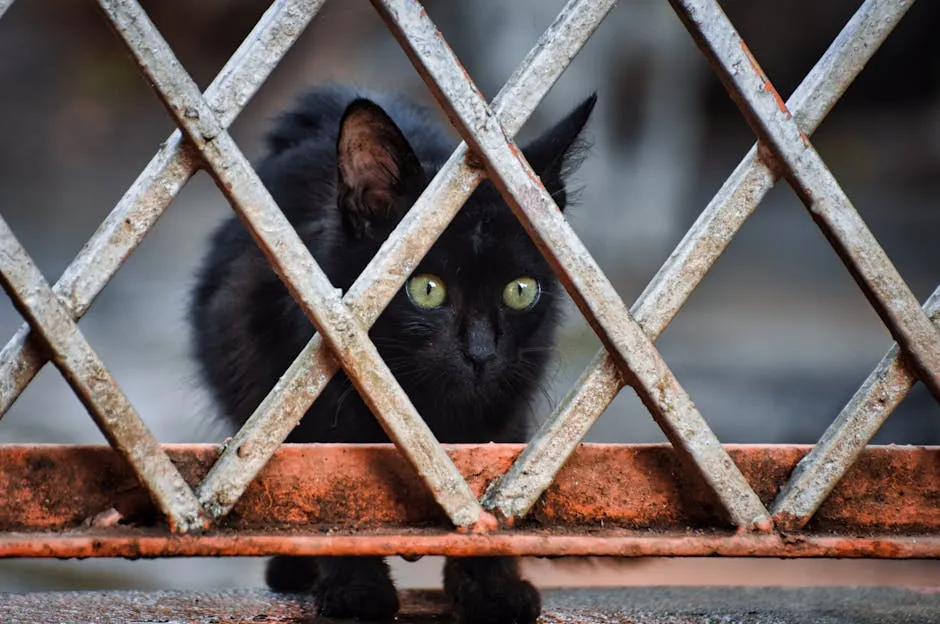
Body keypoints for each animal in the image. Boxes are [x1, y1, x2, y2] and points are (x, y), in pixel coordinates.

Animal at [190, 84, 596, 624]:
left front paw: (494, 590)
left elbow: (485, 495)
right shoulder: (321, 414)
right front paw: (356, 592)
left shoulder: (505, 417)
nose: (480, 352)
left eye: (520, 290)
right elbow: (335, 499)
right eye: (426, 289)